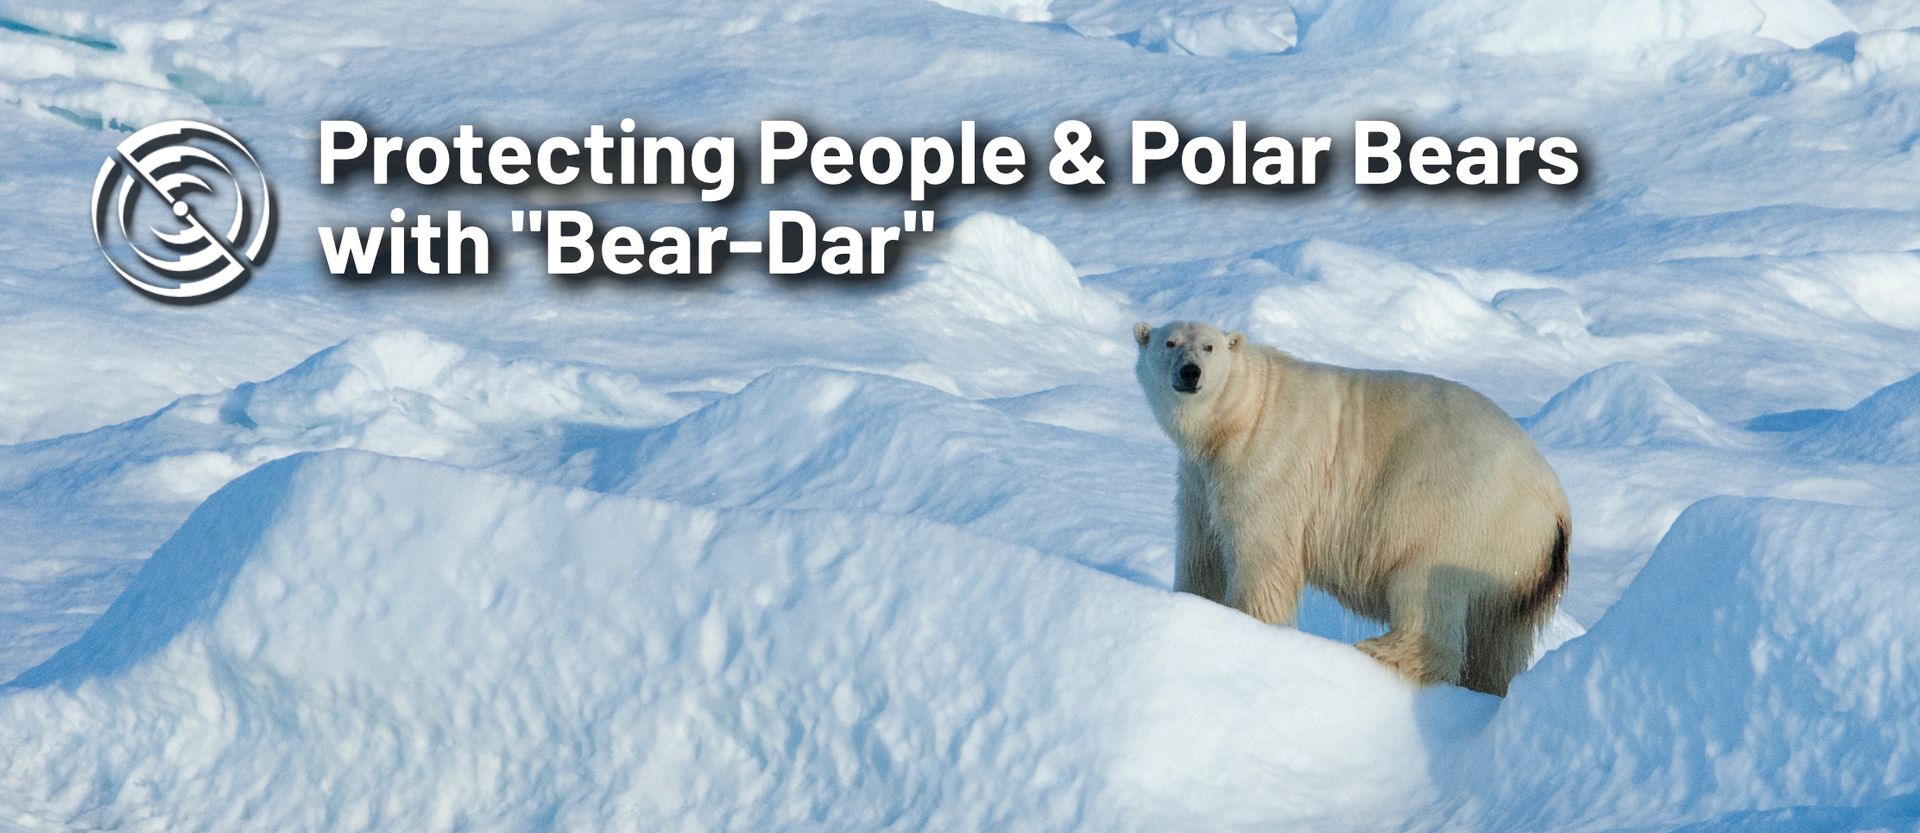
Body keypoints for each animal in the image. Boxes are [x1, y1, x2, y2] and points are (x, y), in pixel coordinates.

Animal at [1134, 320, 1569, 696]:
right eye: (1169, 342)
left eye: (1209, 346)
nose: (1190, 372)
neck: (1243, 415)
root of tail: (1557, 508)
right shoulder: (1199, 479)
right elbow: (1201, 550)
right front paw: (1194, 603)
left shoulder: (1271, 462)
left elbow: (1262, 554)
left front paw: (1248, 625)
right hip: (1519, 569)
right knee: (1498, 640)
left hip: (1463, 516)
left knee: (1427, 588)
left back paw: (1379, 649)